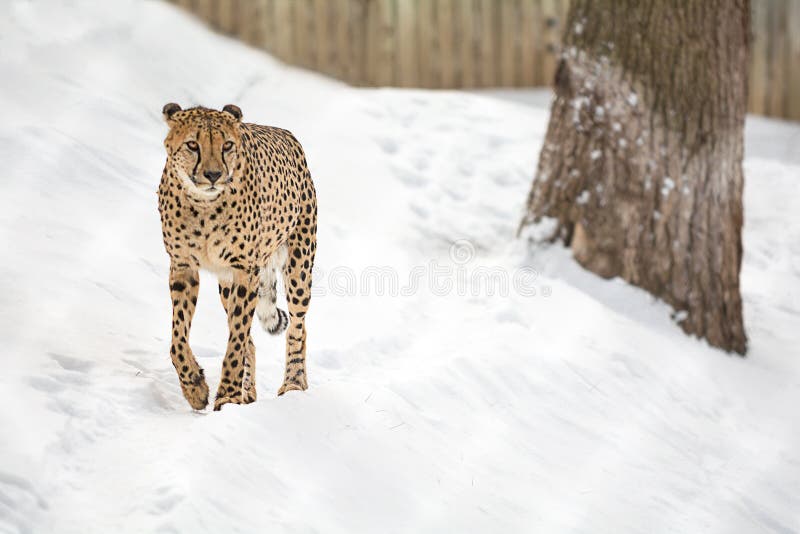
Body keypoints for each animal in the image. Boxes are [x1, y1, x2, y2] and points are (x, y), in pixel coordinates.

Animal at [157, 102, 317, 411]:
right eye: (192, 145)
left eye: (227, 145)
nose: (213, 175)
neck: (204, 206)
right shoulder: (183, 267)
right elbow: (177, 339)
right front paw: (195, 387)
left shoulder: (245, 270)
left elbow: (237, 339)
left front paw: (228, 395)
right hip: (226, 283)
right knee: (251, 340)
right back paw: (249, 394)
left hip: (299, 265)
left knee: (297, 327)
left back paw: (293, 383)